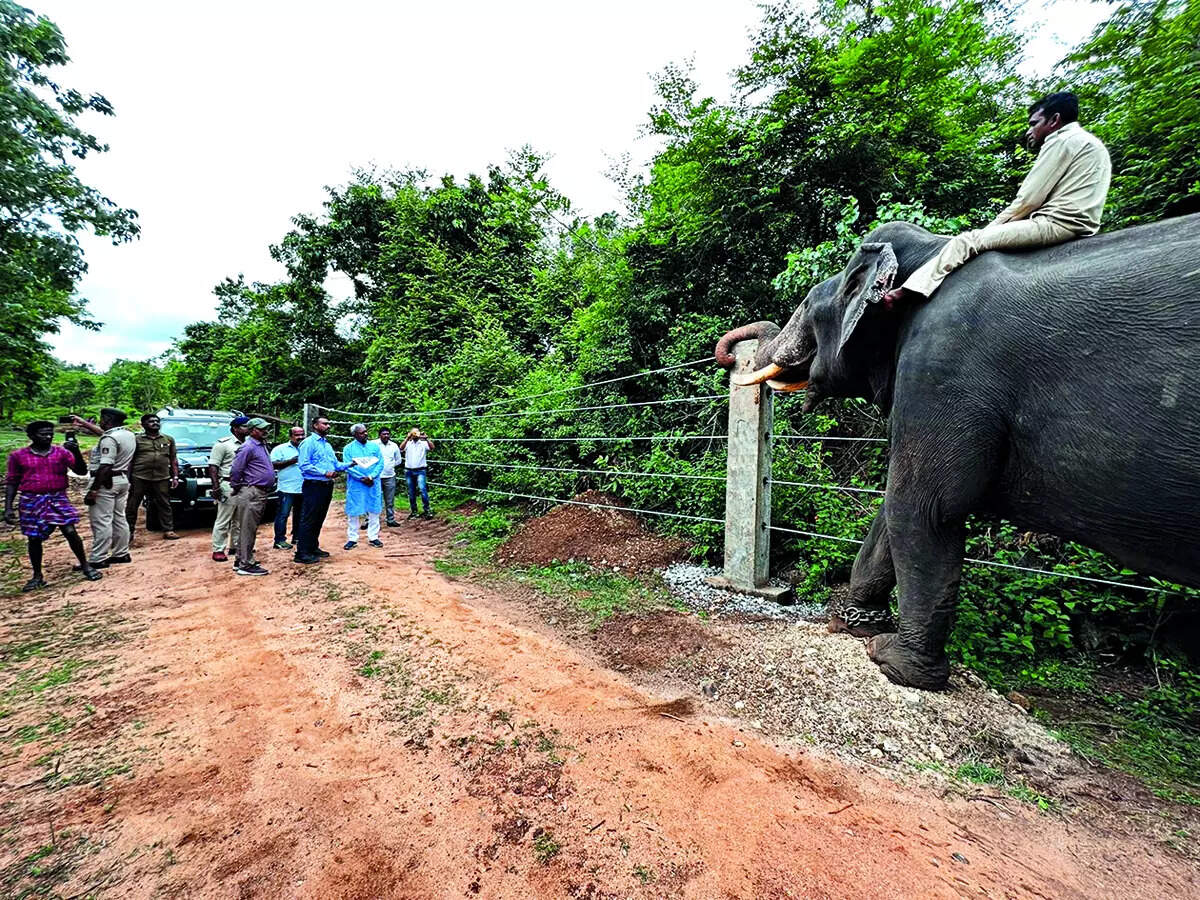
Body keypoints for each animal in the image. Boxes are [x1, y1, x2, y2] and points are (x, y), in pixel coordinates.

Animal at [716, 213, 1200, 690]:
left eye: (804, 306)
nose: (734, 356)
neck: (930, 254)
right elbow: (897, 508)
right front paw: (854, 627)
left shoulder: (942, 369)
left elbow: (922, 506)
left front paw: (890, 663)